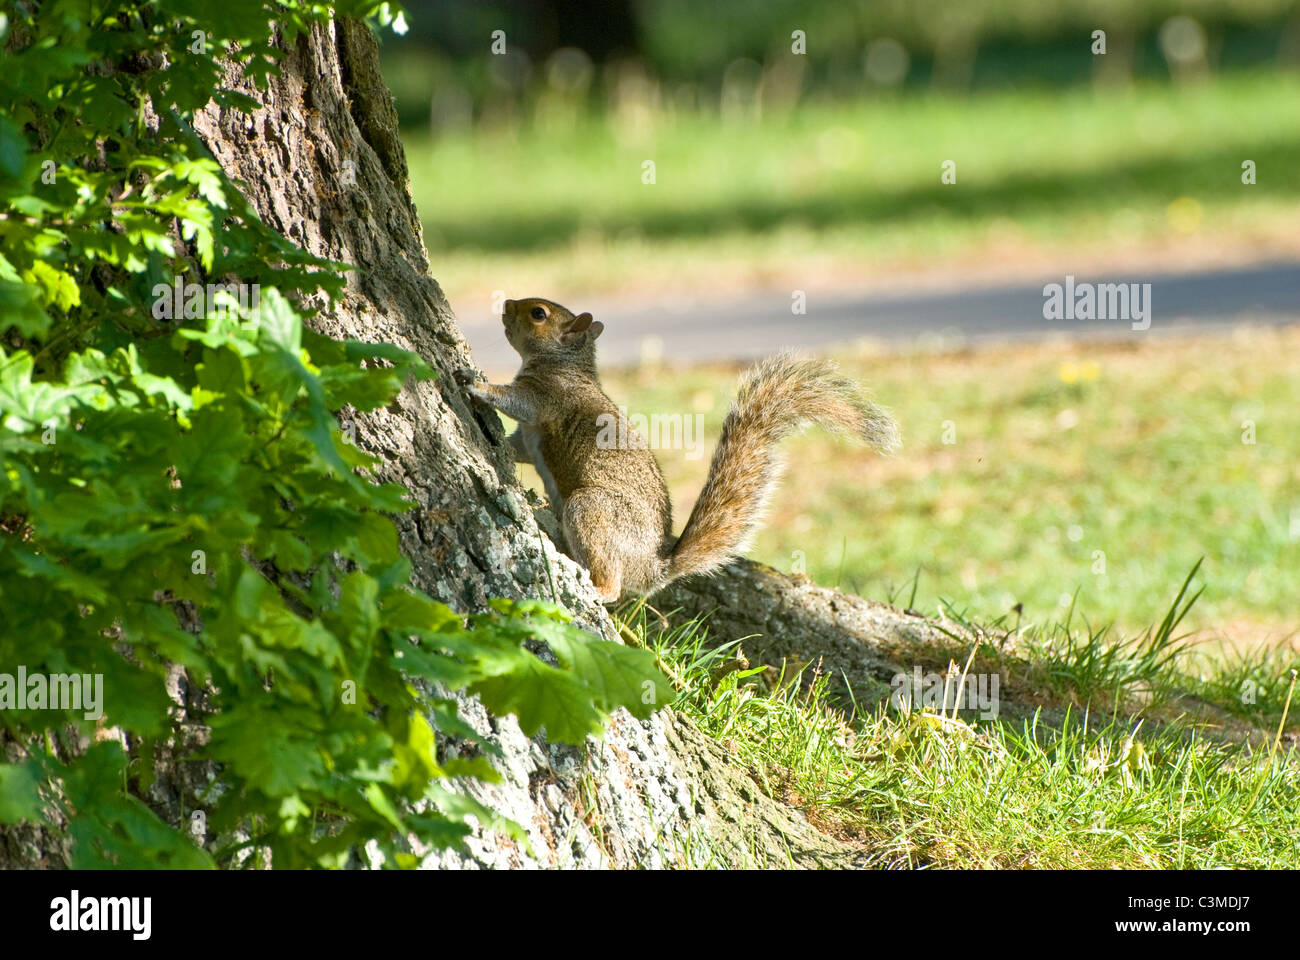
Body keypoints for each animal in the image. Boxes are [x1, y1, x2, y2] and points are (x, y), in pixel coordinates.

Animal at [456, 297, 901, 603]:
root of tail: (653, 570)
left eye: (538, 313)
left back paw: (598, 589)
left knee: (612, 581)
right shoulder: (529, 436)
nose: (506, 305)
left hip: (595, 509)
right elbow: (517, 448)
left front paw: (475, 383)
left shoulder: (546, 398)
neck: (565, 363)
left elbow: (514, 400)